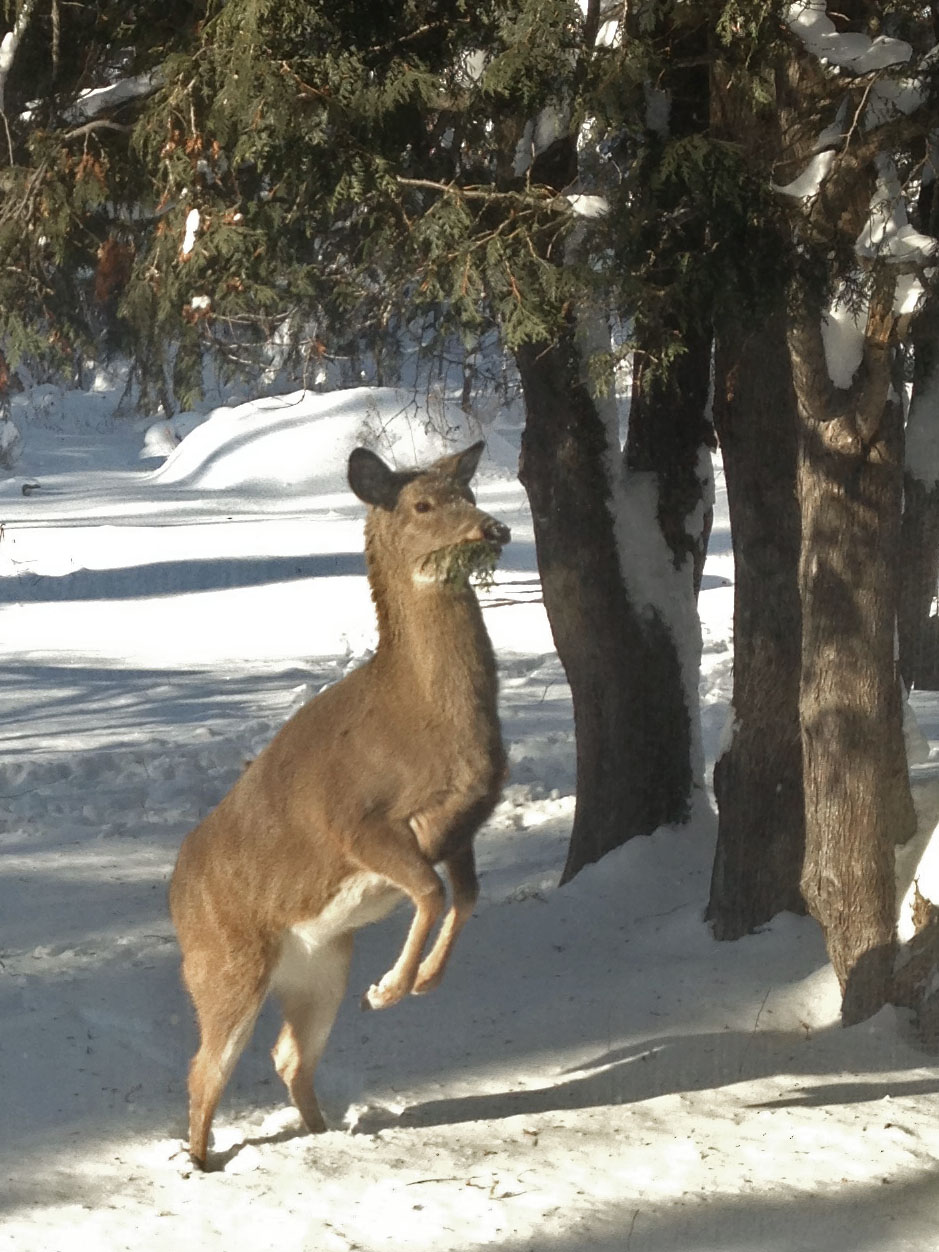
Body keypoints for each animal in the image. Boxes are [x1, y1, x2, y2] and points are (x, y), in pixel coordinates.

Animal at [169, 440, 509, 1168]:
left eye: (466, 492)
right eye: (423, 504)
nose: (493, 530)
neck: (426, 721)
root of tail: (174, 888)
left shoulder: (462, 825)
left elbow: (465, 896)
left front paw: (423, 982)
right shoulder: (358, 821)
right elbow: (431, 891)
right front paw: (390, 990)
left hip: (319, 961)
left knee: (288, 1053)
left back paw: (322, 1131)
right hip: (223, 958)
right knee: (206, 1065)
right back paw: (202, 1162)